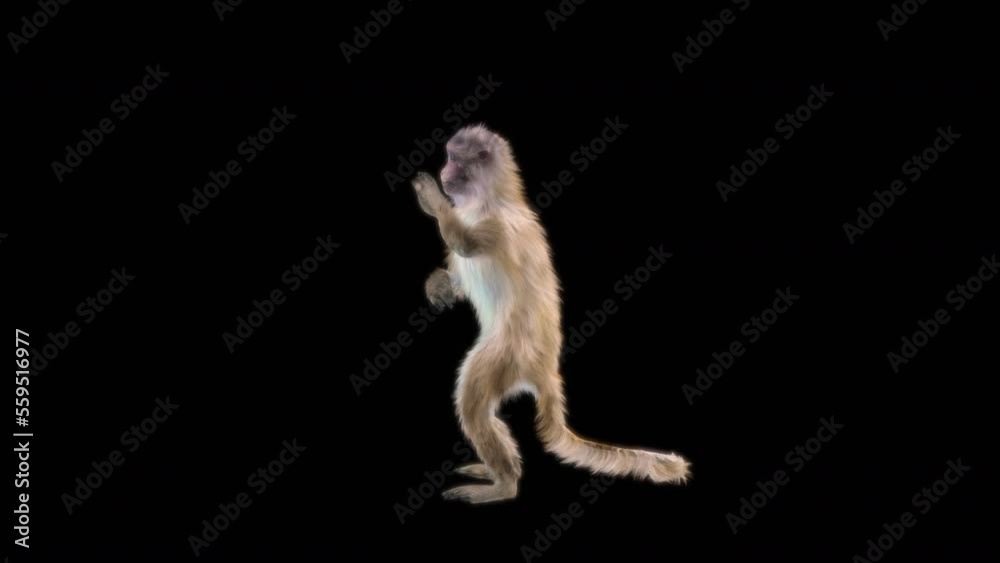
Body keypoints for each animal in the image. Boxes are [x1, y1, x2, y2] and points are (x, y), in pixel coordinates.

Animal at [412, 124, 690, 504]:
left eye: (454, 159)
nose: (445, 172)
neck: (486, 200)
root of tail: (545, 368)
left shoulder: (499, 225)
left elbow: (464, 245)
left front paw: (431, 198)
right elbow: (456, 280)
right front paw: (438, 285)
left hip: (508, 353)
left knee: (473, 406)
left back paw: (504, 486)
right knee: (485, 414)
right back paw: (501, 473)